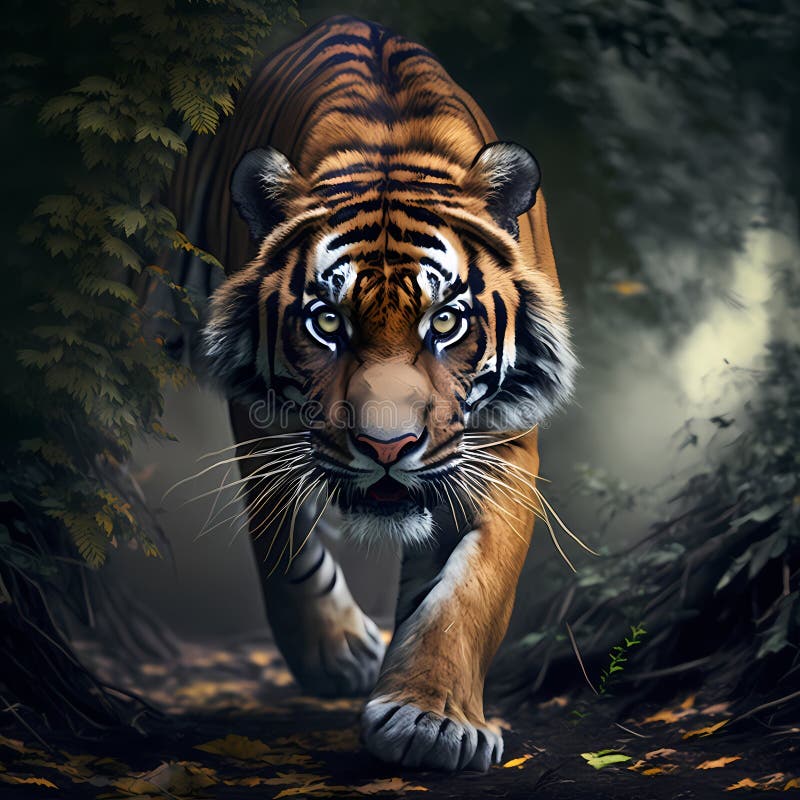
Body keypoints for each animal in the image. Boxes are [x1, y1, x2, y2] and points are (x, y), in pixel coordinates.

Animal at [161, 15, 576, 772]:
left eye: (445, 322)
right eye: (327, 322)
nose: (387, 446)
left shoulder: (501, 439)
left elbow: (471, 588)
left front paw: (430, 719)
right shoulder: (260, 418)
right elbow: (281, 540)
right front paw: (334, 656)